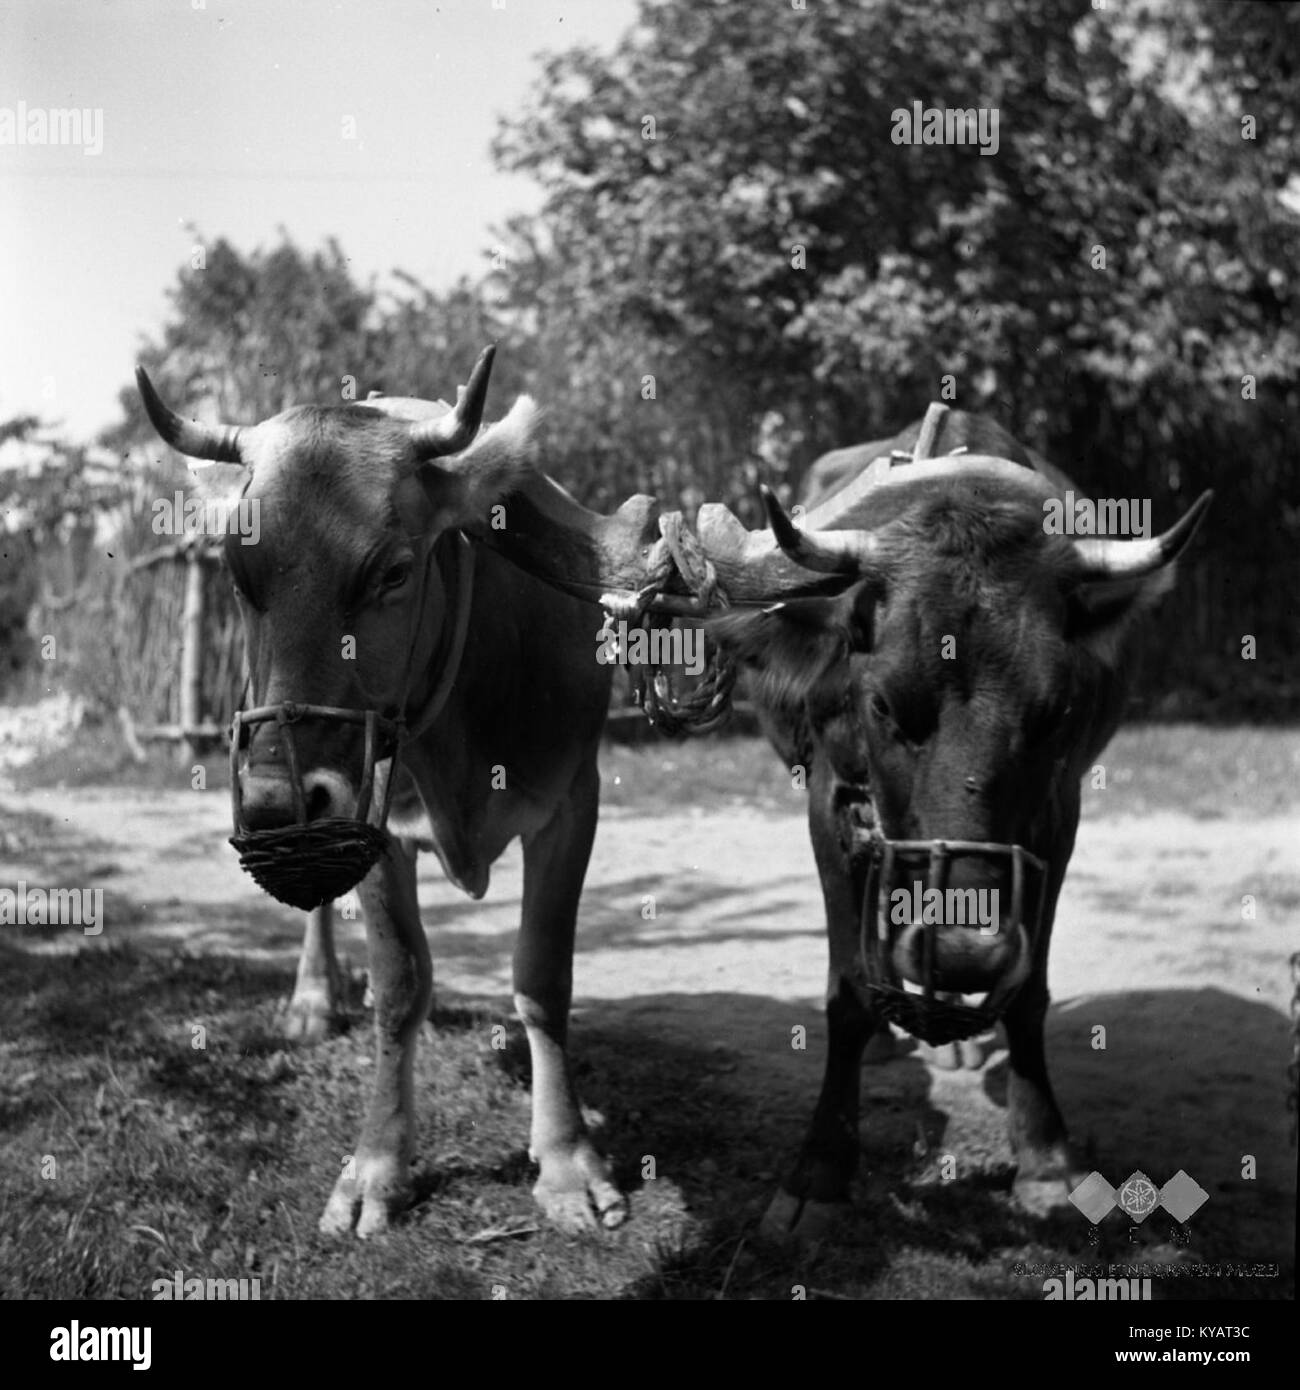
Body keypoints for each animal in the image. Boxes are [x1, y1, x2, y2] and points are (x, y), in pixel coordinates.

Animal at [135, 349, 660, 1236]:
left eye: (394, 571)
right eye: (240, 575)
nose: (276, 799)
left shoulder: (571, 802)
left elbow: (543, 978)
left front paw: (567, 1159)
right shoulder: (367, 814)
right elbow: (400, 984)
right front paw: (377, 1165)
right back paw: (314, 998)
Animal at [693, 405, 1211, 1240]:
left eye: (1054, 712)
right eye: (881, 703)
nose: (966, 953)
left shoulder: (1058, 816)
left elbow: (1029, 993)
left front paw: (1046, 1160)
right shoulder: (830, 805)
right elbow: (847, 989)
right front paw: (820, 1170)